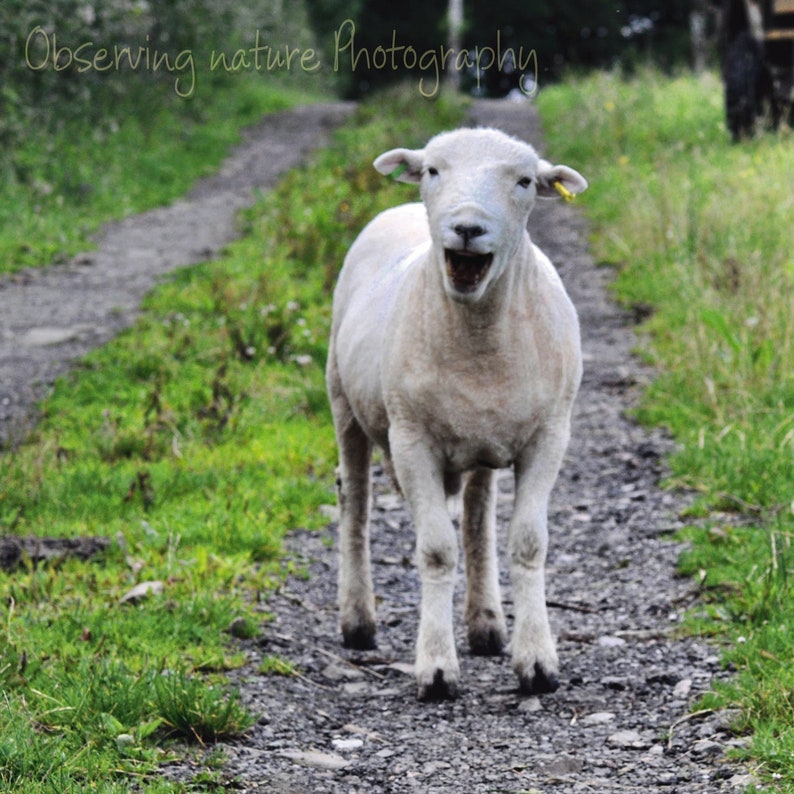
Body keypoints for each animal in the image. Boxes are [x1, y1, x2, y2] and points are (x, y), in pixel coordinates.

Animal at [324, 125, 588, 700]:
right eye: (432, 170)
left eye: (525, 181)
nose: (467, 227)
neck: (479, 336)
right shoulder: (411, 441)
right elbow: (436, 550)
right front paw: (437, 668)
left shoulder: (550, 435)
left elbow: (528, 542)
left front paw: (537, 661)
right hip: (342, 400)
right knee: (355, 501)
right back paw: (358, 621)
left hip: (482, 439)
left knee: (477, 514)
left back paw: (486, 624)